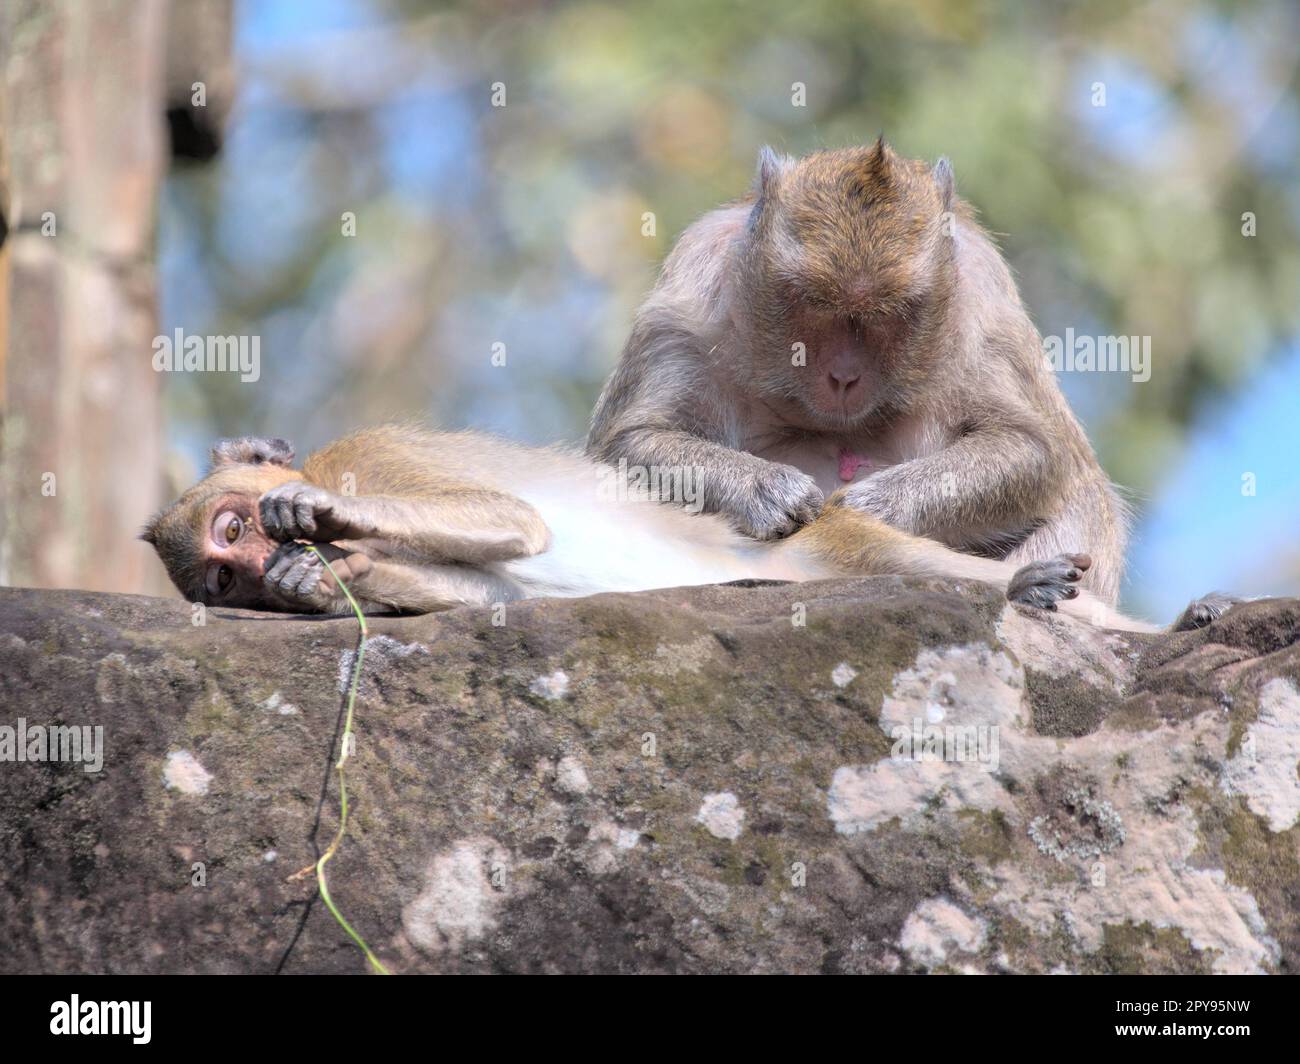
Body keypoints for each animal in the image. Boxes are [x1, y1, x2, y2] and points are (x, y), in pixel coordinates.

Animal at [587, 140, 1131, 605]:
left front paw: (874, 507)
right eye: (812, 302)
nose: (844, 376)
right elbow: (629, 445)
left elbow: (1031, 448)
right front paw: (767, 491)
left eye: (894, 314)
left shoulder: (985, 304)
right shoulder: (687, 303)